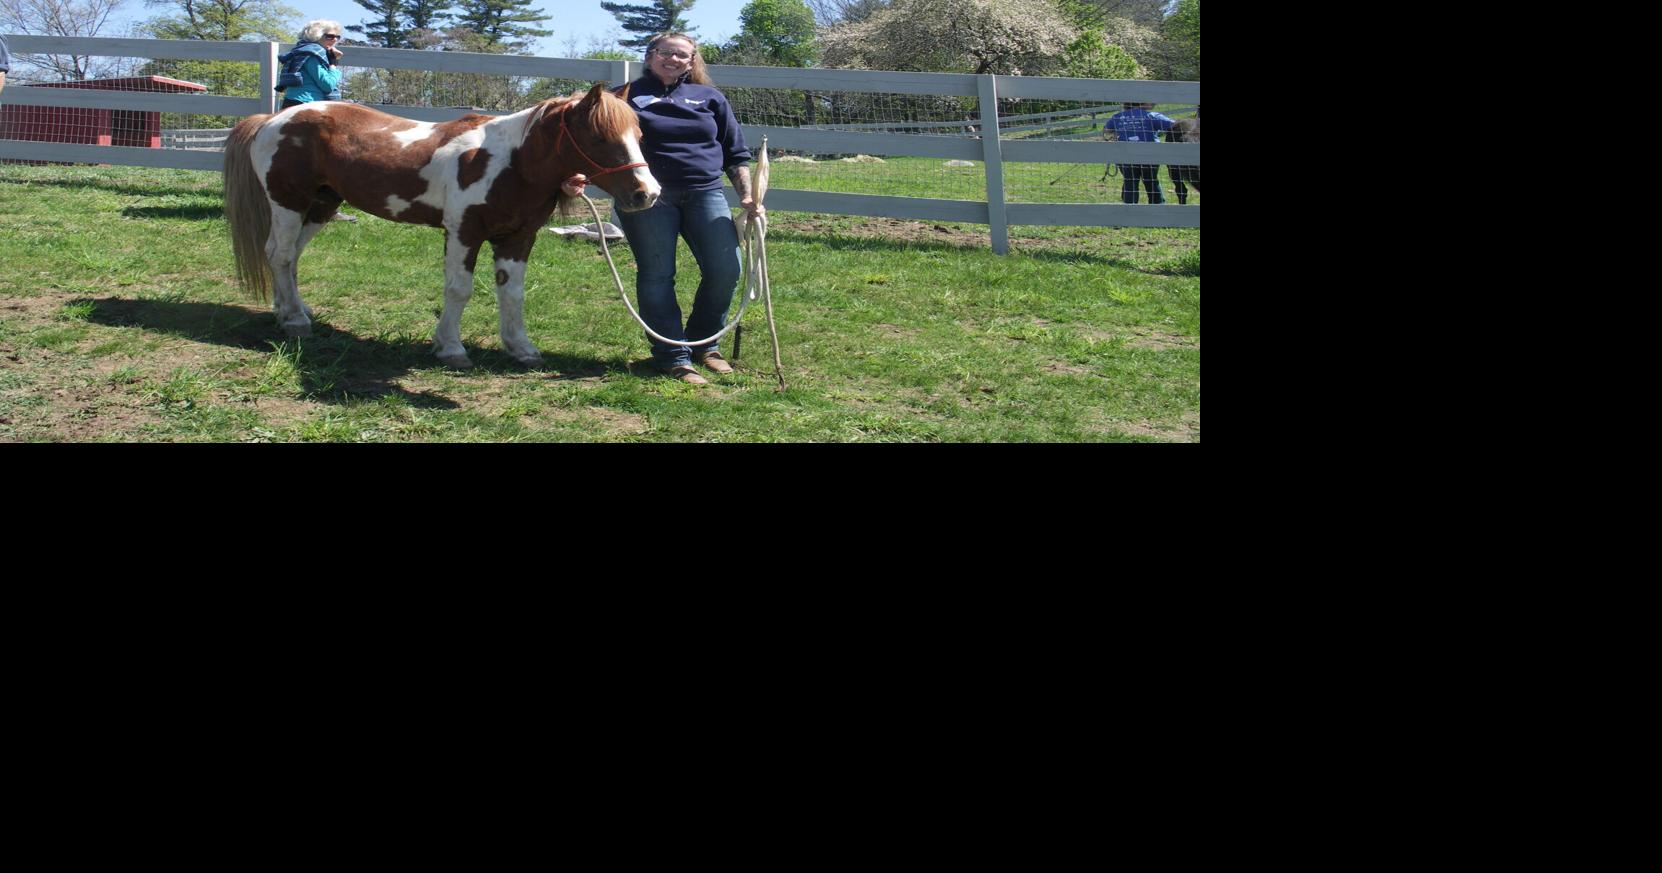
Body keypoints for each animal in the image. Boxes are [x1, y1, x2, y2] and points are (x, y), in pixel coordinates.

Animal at [222, 83, 661, 369]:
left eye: (638, 133)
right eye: (599, 137)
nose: (648, 193)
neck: (509, 164)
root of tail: (274, 117)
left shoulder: (517, 238)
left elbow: (513, 294)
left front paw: (520, 347)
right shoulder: (464, 232)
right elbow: (459, 289)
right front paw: (450, 348)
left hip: (321, 205)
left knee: (288, 255)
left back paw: (291, 310)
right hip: (289, 202)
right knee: (280, 254)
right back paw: (295, 321)